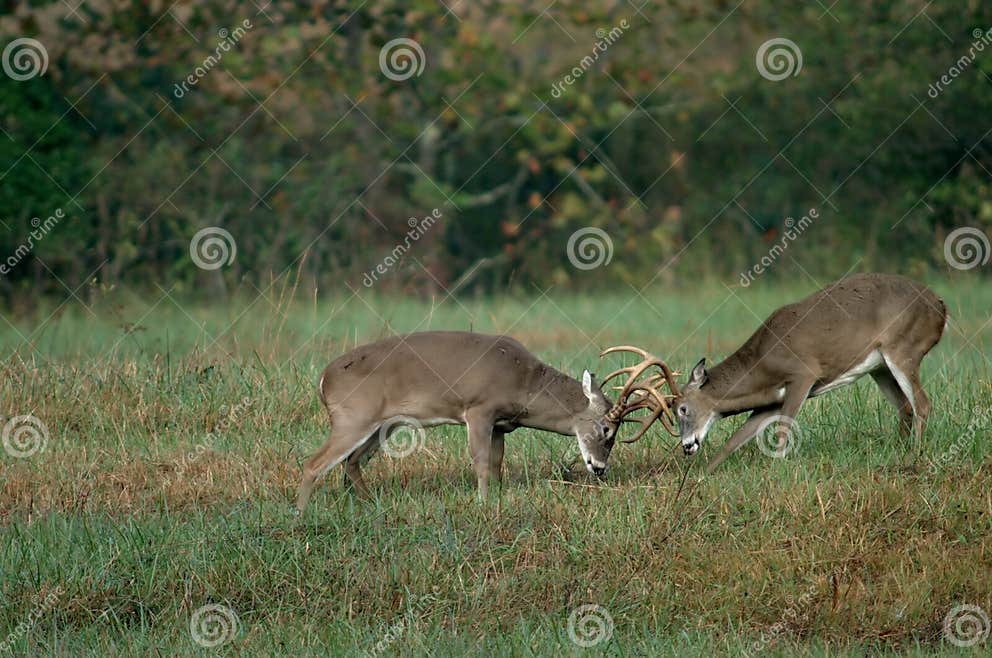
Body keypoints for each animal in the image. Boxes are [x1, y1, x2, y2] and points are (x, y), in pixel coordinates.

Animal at [295, 331, 679, 513]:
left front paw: (494, 500)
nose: (599, 468)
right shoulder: (478, 409)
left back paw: (368, 505)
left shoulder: (500, 424)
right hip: (353, 417)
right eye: (606, 430)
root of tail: (324, 379)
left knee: (351, 464)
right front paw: (481, 504)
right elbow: (480, 463)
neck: (525, 383)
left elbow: (496, 465)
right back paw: (300, 515)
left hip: (380, 426)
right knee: (314, 465)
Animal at [668, 273, 947, 473]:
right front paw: (702, 475)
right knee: (905, 407)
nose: (686, 446)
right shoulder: (772, 398)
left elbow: (783, 433)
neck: (761, 363)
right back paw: (899, 451)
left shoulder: (803, 374)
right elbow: (734, 440)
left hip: (903, 347)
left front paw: (776, 471)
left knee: (922, 404)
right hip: (879, 367)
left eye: (682, 408)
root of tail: (940, 306)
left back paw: (914, 456)